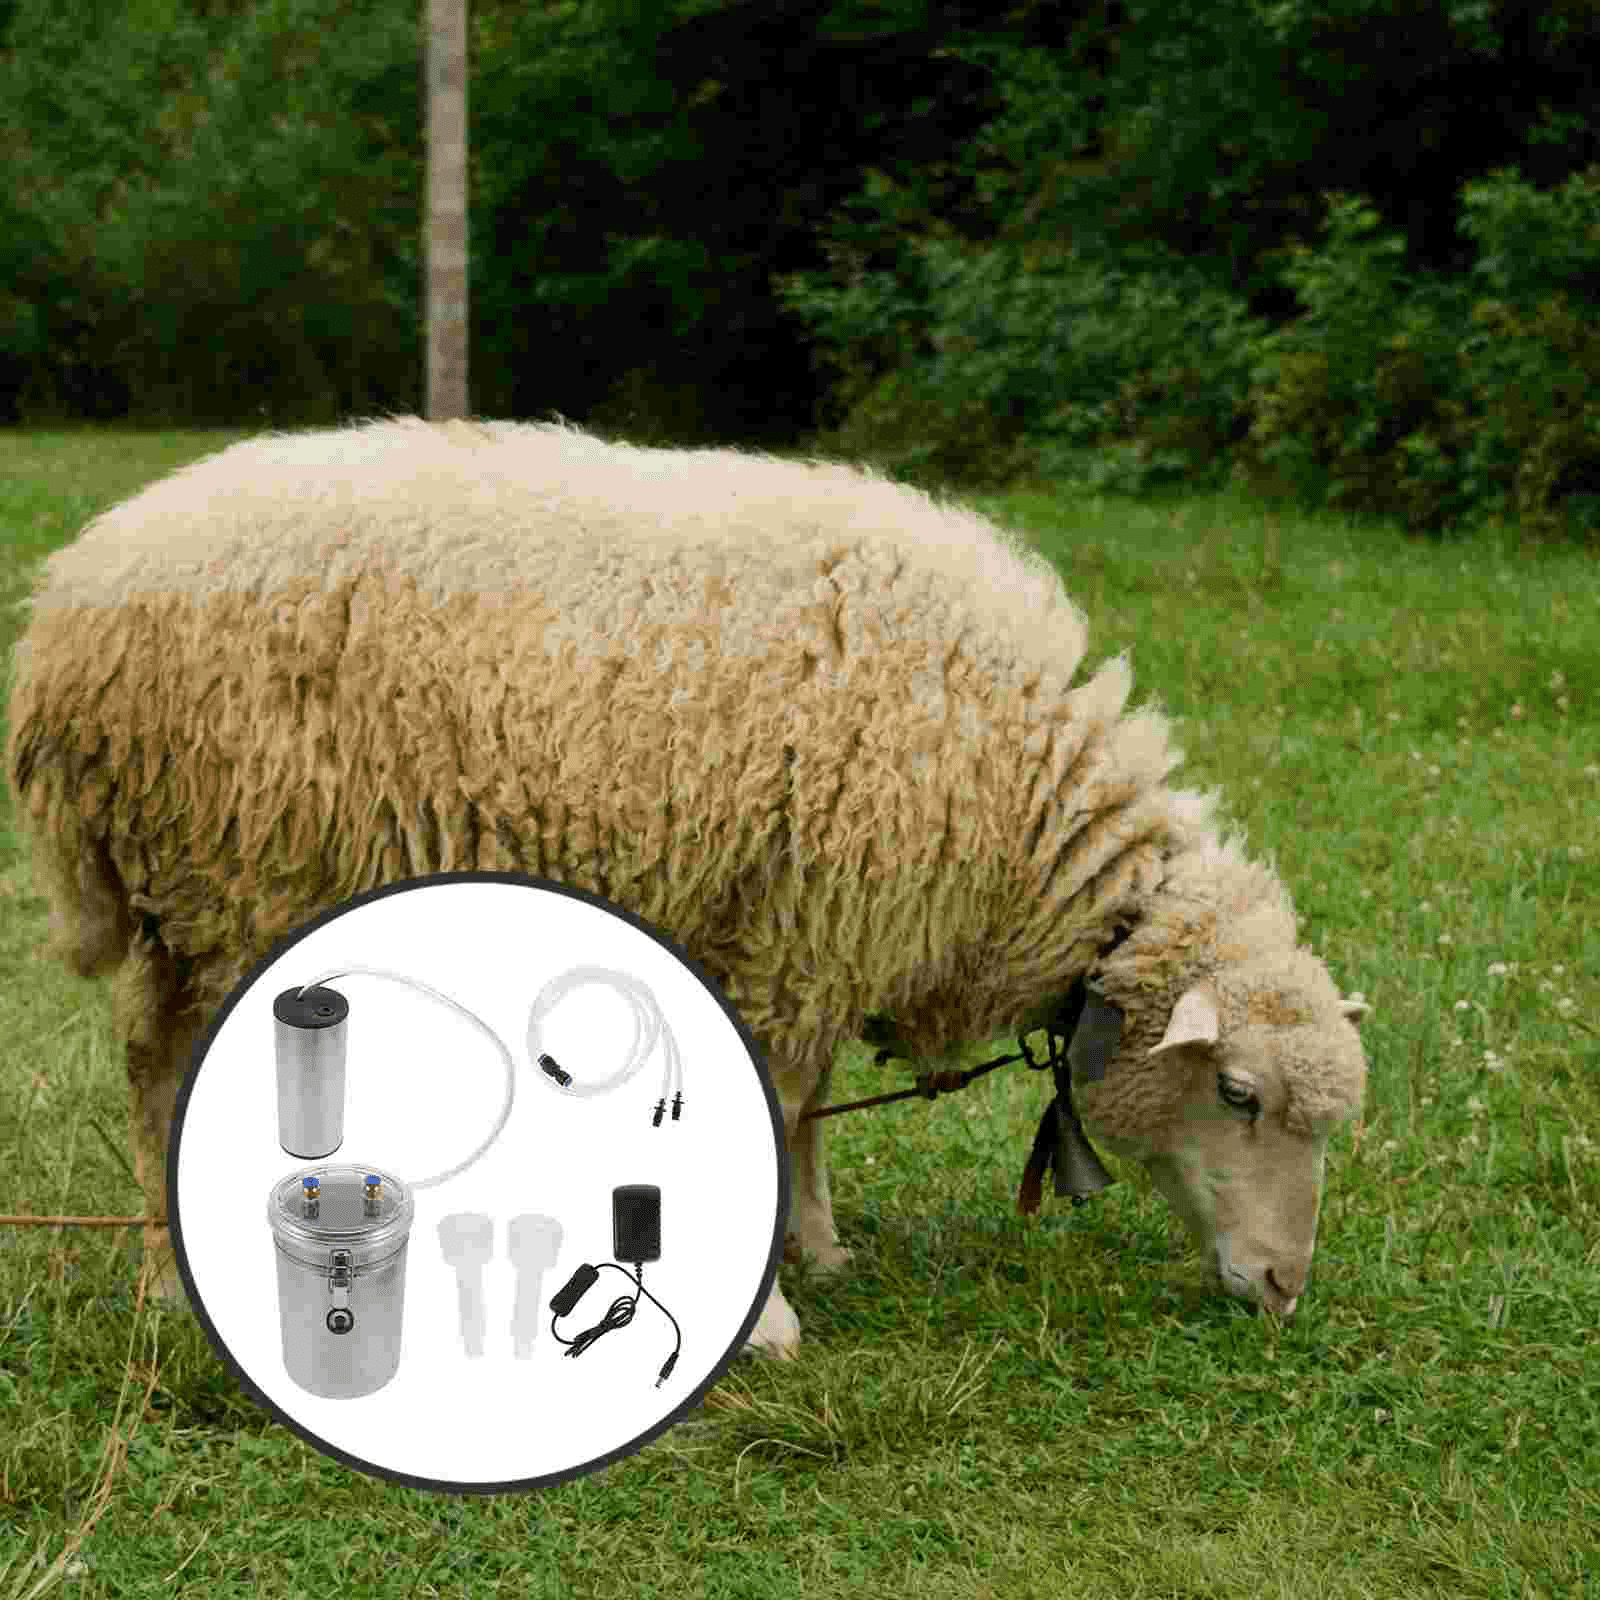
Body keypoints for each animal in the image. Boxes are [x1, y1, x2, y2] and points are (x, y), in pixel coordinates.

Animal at [7, 416, 1371, 1356]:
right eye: (1237, 1094)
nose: (1285, 1290)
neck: (1025, 801)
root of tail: (67, 607)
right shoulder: (797, 935)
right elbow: (778, 1105)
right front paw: (766, 1318)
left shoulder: (813, 932)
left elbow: (809, 1112)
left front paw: (819, 1246)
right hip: (236, 870)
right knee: (168, 1070)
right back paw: (170, 1281)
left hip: (187, 892)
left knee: (149, 1054)